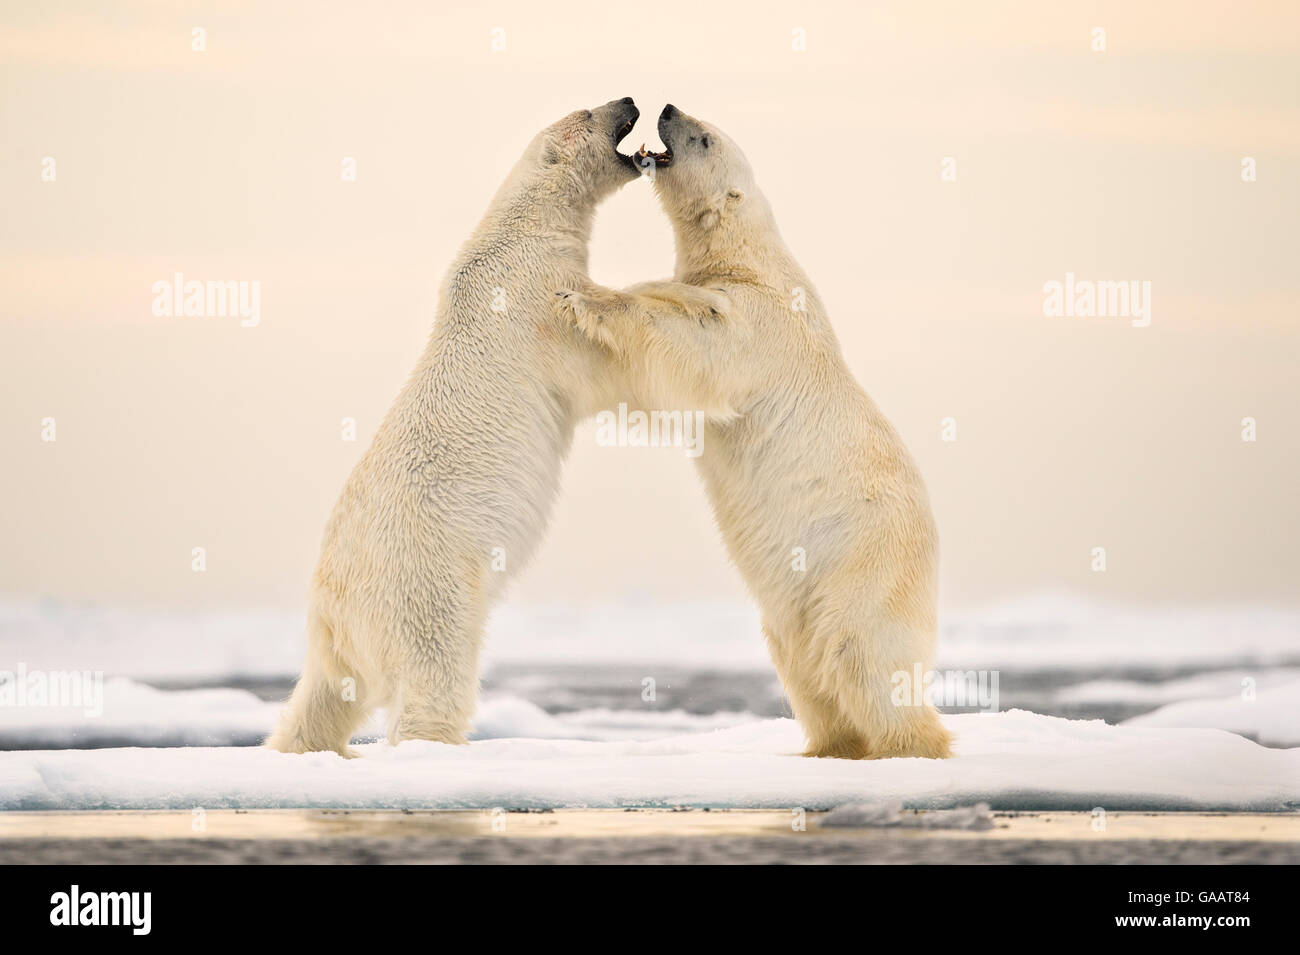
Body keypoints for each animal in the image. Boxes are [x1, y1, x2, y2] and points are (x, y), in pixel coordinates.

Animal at [267, 97, 643, 755]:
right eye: (589, 112)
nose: (629, 100)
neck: (520, 230)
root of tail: (332, 610)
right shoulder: (534, 298)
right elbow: (591, 362)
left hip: (337, 637)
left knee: (321, 701)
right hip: (426, 583)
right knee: (436, 668)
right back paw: (439, 746)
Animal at [557, 104, 952, 760]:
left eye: (704, 138)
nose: (667, 109)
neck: (749, 258)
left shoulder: (759, 321)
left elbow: (698, 352)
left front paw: (583, 295)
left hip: (862, 561)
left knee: (862, 654)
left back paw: (910, 746)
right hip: (798, 599)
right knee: (801, 661)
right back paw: (824, 747)